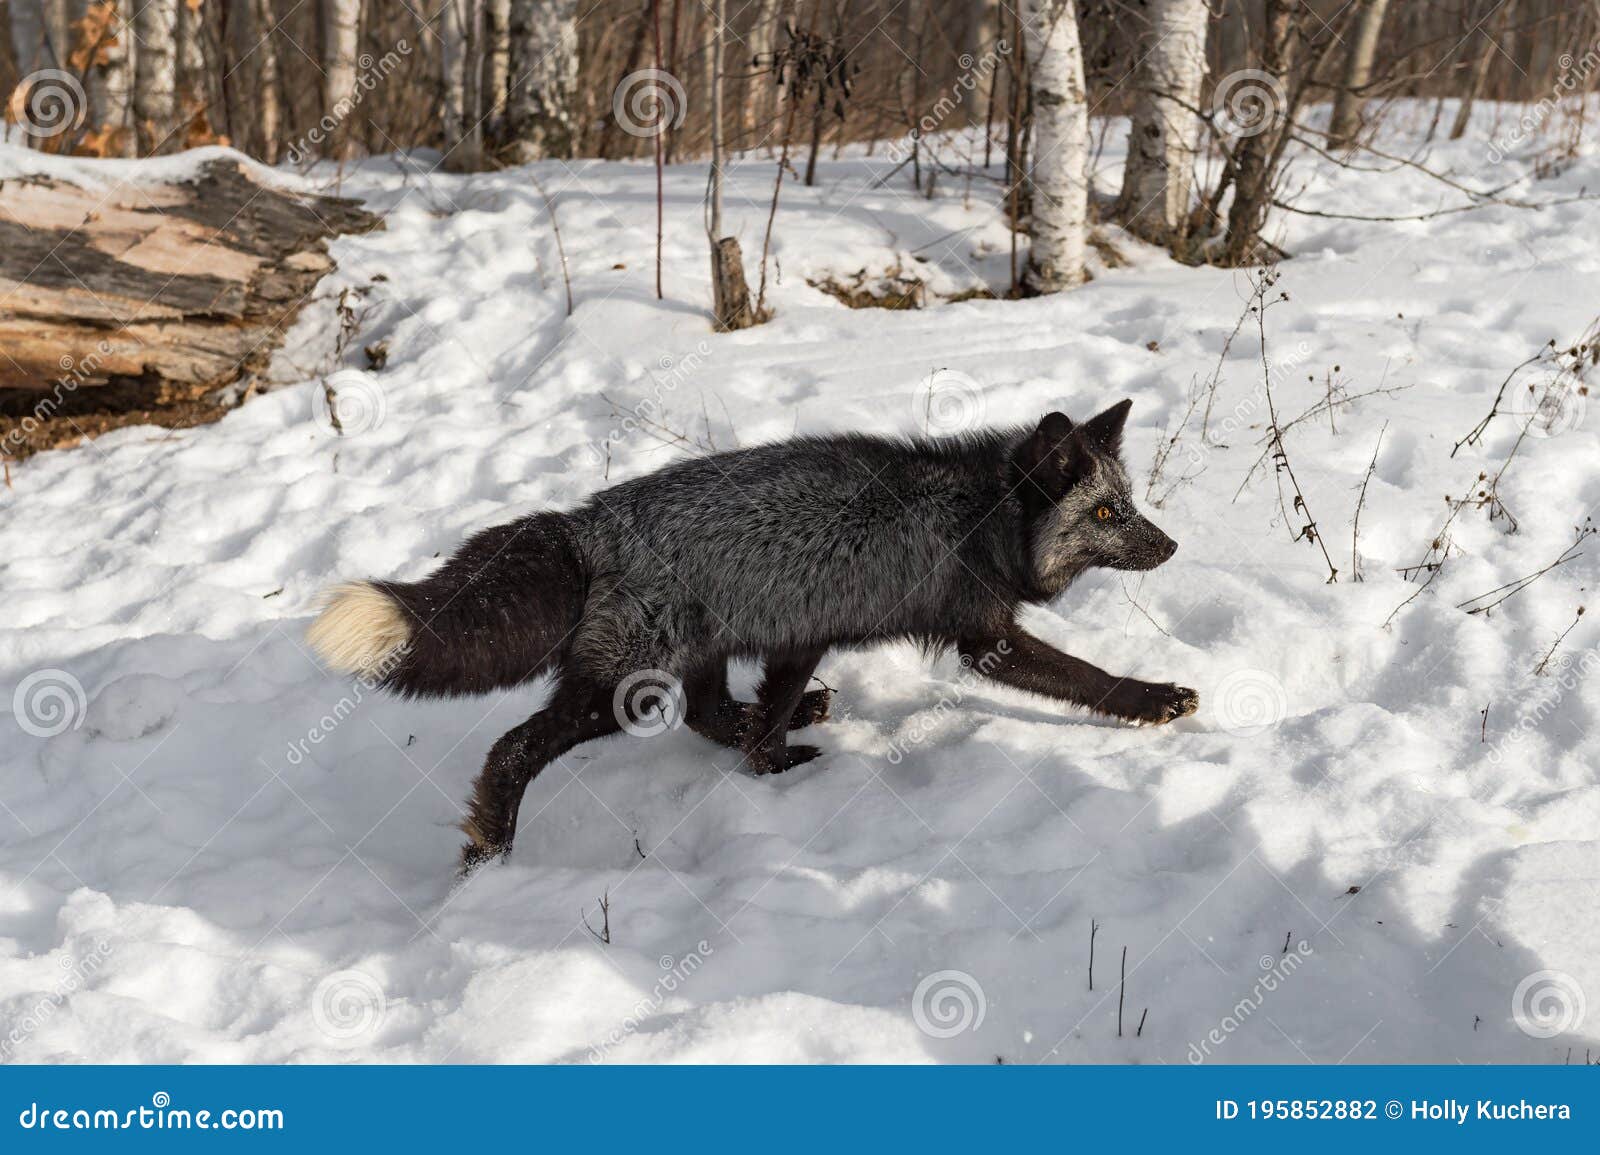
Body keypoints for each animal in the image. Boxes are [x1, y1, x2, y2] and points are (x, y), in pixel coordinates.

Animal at [308, 399, 1197, 874]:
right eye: (1107, 513)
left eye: (1130, 504)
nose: (1171, 545)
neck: (980, 515)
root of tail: (588, 522)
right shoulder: (986, 640)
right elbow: (1086, 676)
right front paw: (1156, 699)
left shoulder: (802, 632)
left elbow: (765, 710)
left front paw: (771, 752)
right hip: (623, 691)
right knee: (515, 748)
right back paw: (490, 846)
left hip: (693, 652)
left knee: (707, 711)